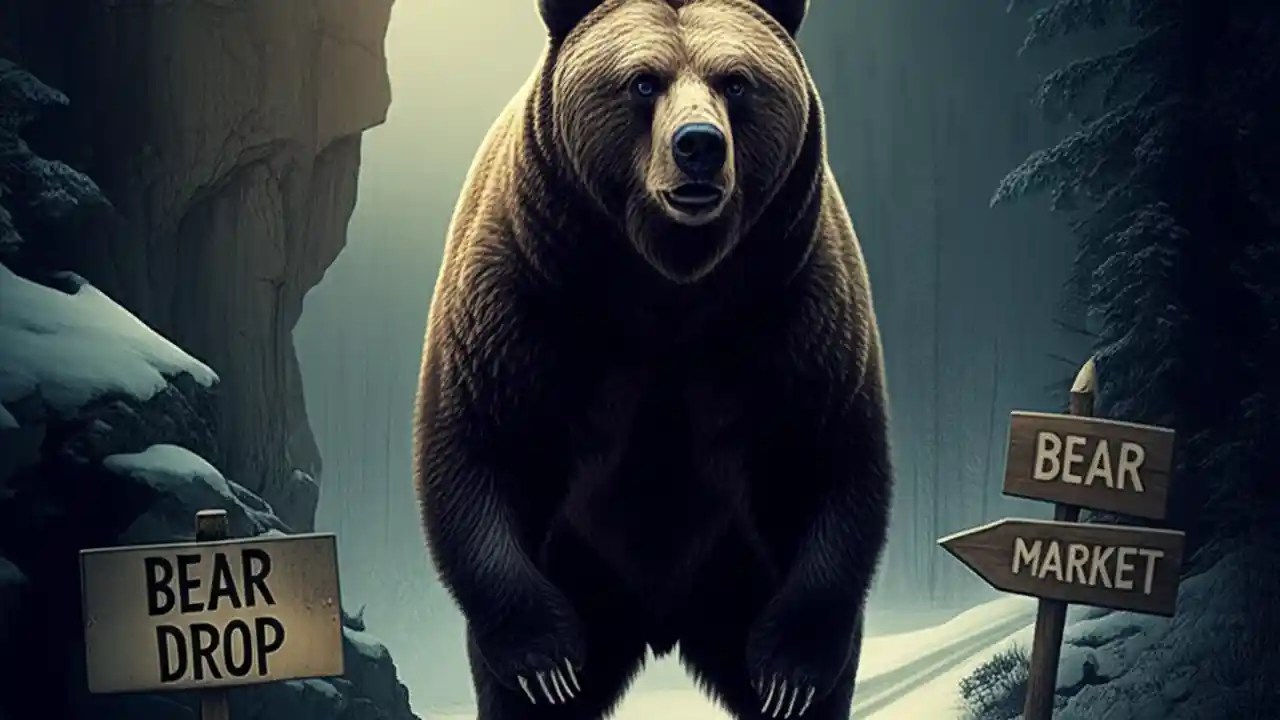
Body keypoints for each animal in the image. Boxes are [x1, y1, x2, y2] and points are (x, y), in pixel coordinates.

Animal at [412, 1, 893, 718]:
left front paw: (791, 675)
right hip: (583, 569)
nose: (698, 145)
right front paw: (543, 661)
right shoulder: (523, 297)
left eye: (736, 81)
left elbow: (831, 455)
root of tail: (662, 628)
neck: (668, 283)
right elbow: (478, 442)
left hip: (737, 574)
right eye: (643, 81)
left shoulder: (798, 309)